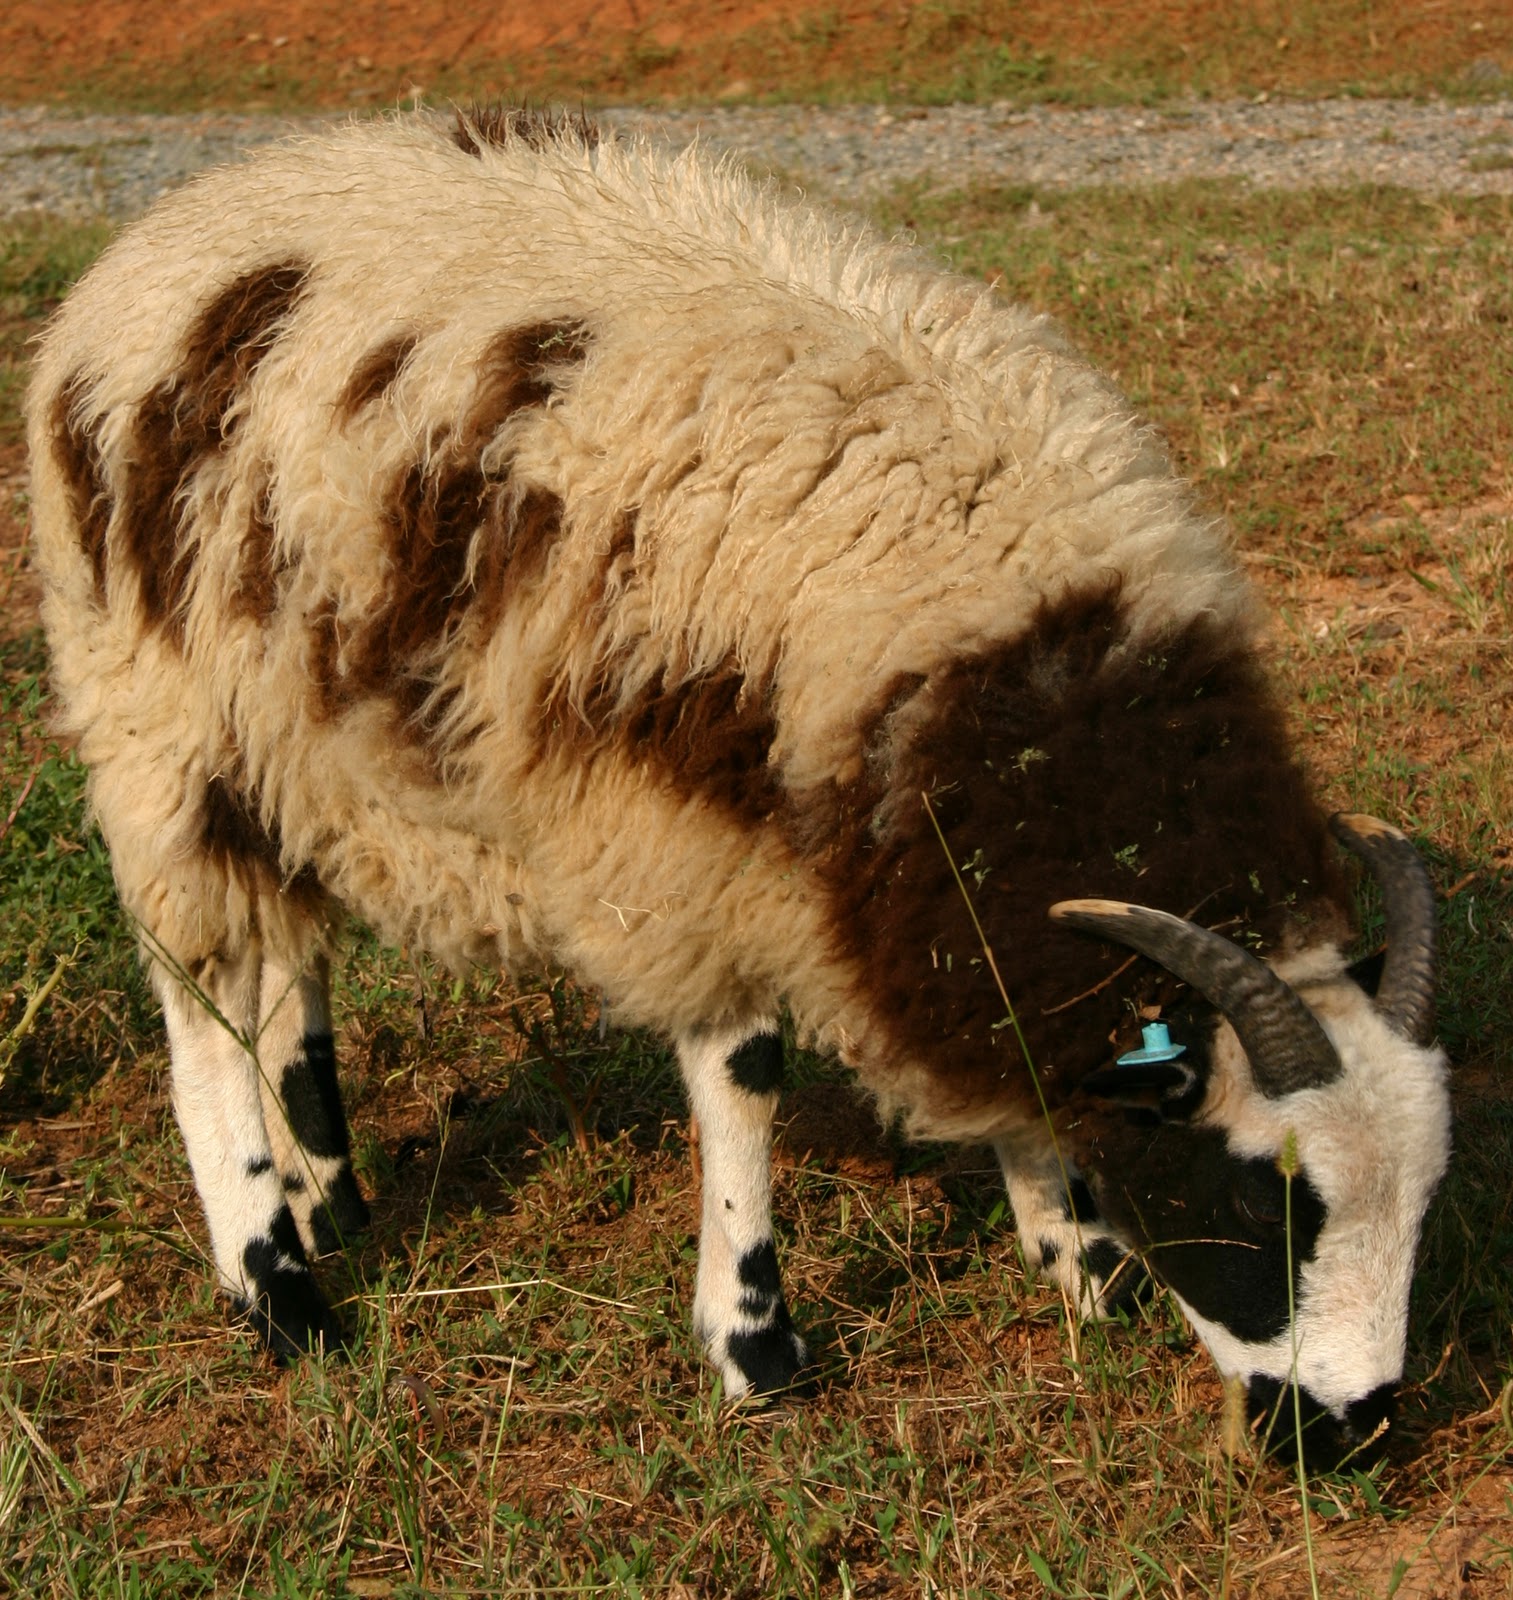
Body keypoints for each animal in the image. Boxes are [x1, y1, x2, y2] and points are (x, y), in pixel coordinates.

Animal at [27, 106, 1450, 1468]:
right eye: (1261, 1195)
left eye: (1428, 1195)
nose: (1355, 1434)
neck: (1020, 691)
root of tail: (190, 210)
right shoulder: (682, 850)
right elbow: (745, 1078)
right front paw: (755, 1345)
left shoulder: (911, 883)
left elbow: (1000, 1022)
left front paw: (1081, 1258)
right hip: (159, 714)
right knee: (204, 993)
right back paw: (280, 1288)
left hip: (291, 736)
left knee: (288, 956)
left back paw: (331, 1193)